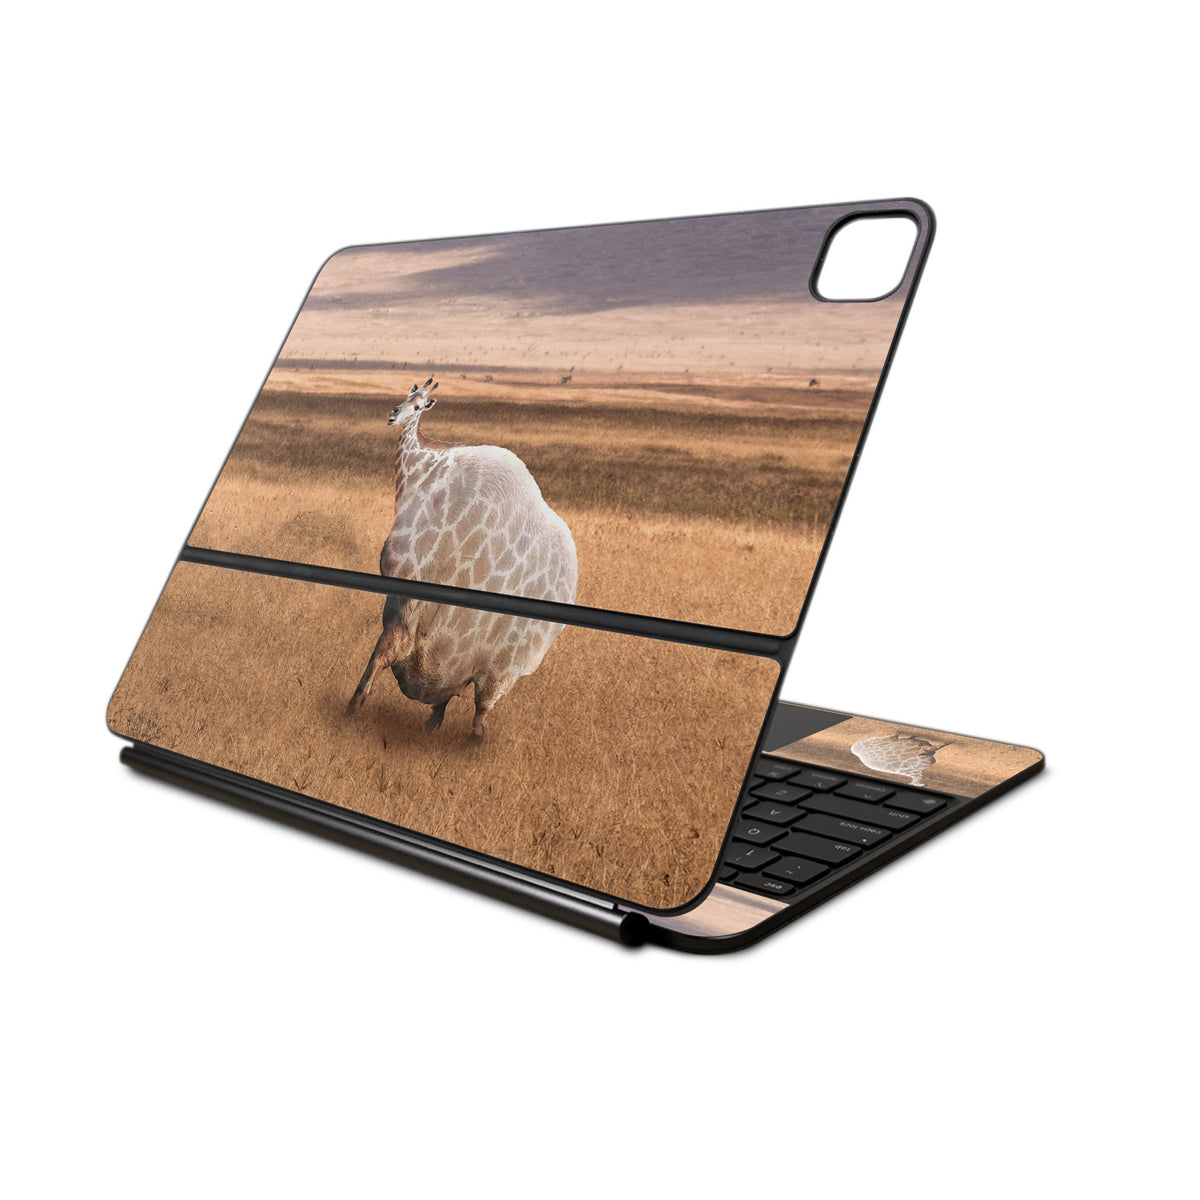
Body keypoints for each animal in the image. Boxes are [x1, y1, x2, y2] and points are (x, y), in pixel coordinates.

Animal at [344, 378, 578, 741]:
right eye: (407, 396)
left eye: (419, 406)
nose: (393, 414)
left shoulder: (404, 589)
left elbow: (377, 660)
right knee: (456, 704)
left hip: (503, 665)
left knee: (478, 714)